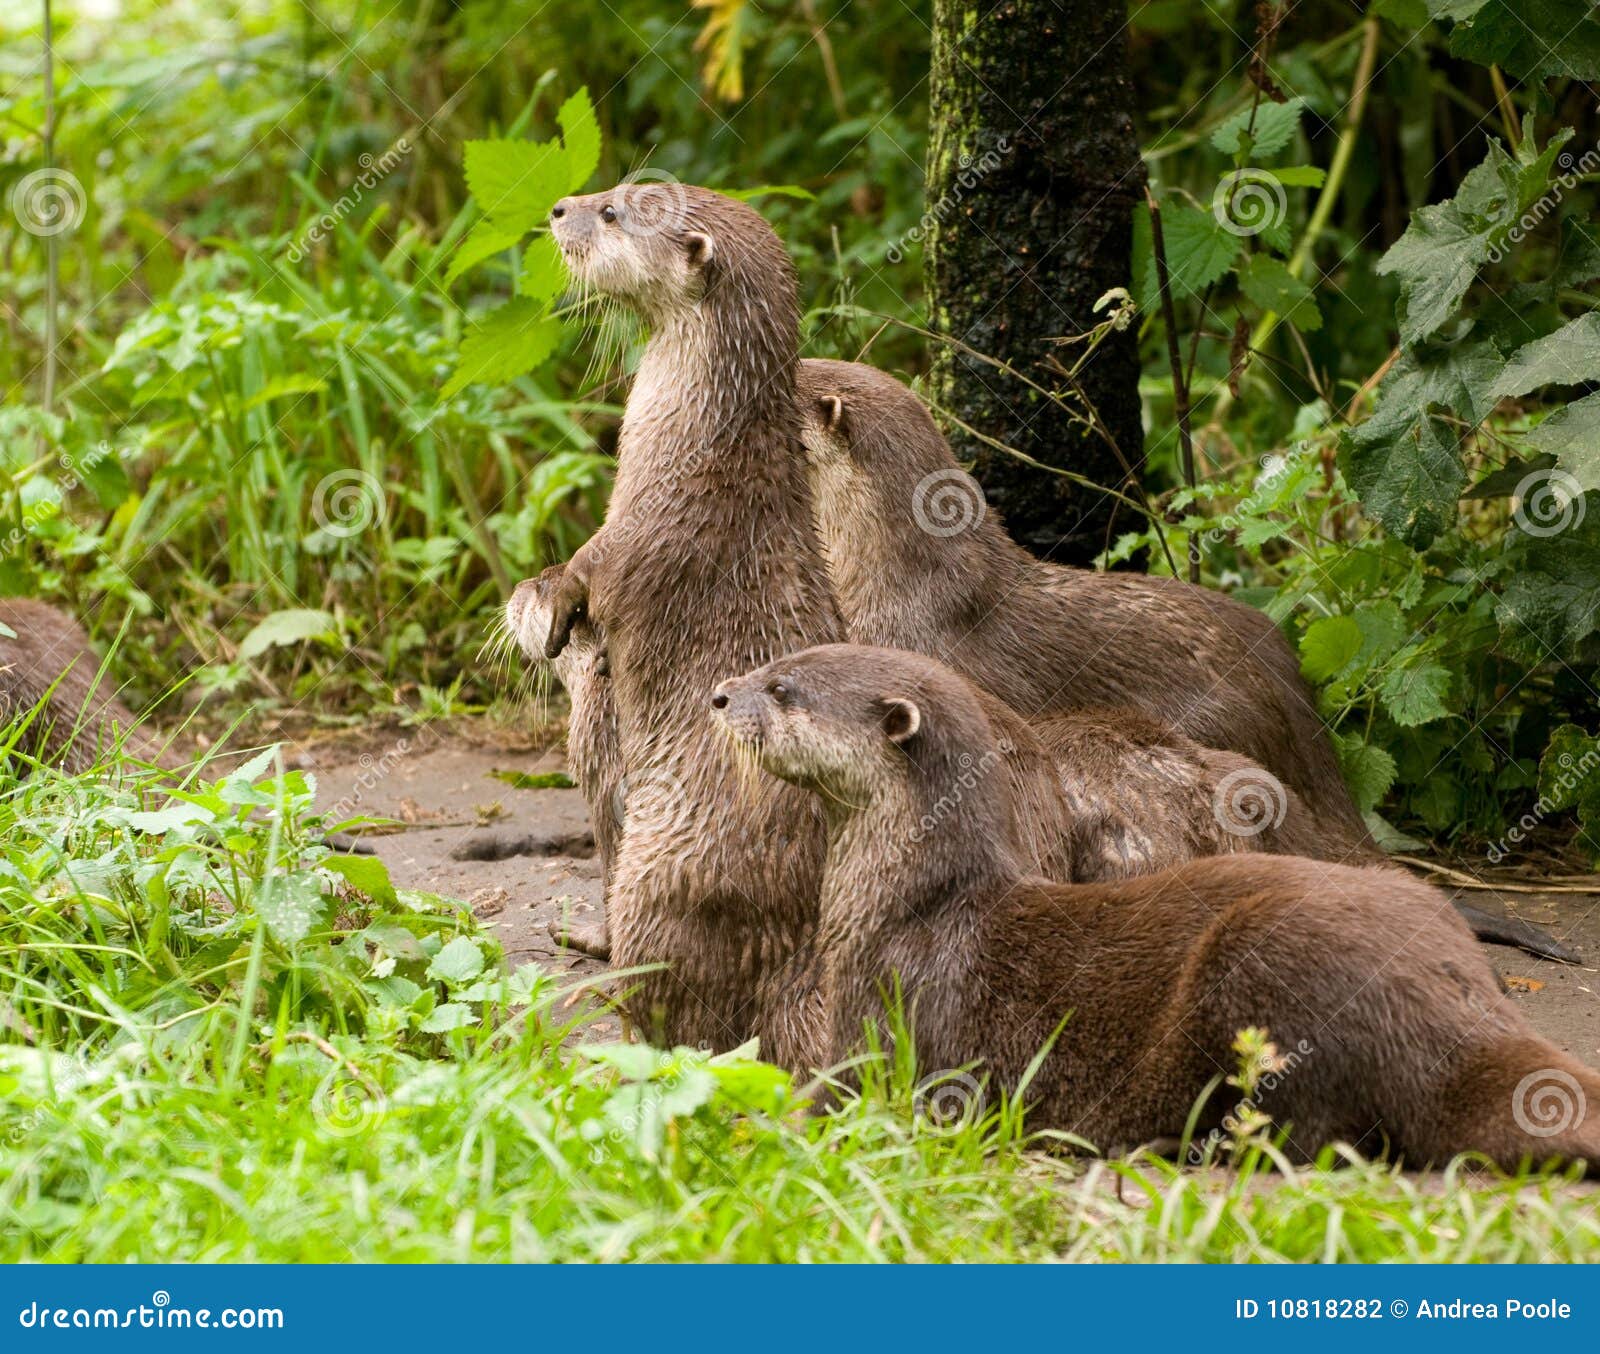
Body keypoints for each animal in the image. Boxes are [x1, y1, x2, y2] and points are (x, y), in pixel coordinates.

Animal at [541, 183, 844, 1066]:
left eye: (612, 213)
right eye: (604, 191)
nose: (559, 208)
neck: (698, 447)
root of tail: (793, 953)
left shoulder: (638, 530)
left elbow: (589, 580)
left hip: (659, 876)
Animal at [712, 644, 1600, 1171]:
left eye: (784, 688)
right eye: (775, 663)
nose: (719, 695)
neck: (902, 904)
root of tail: (1448, 1004)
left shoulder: (875, 1031)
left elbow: (822, 1104)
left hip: (1264, 969)